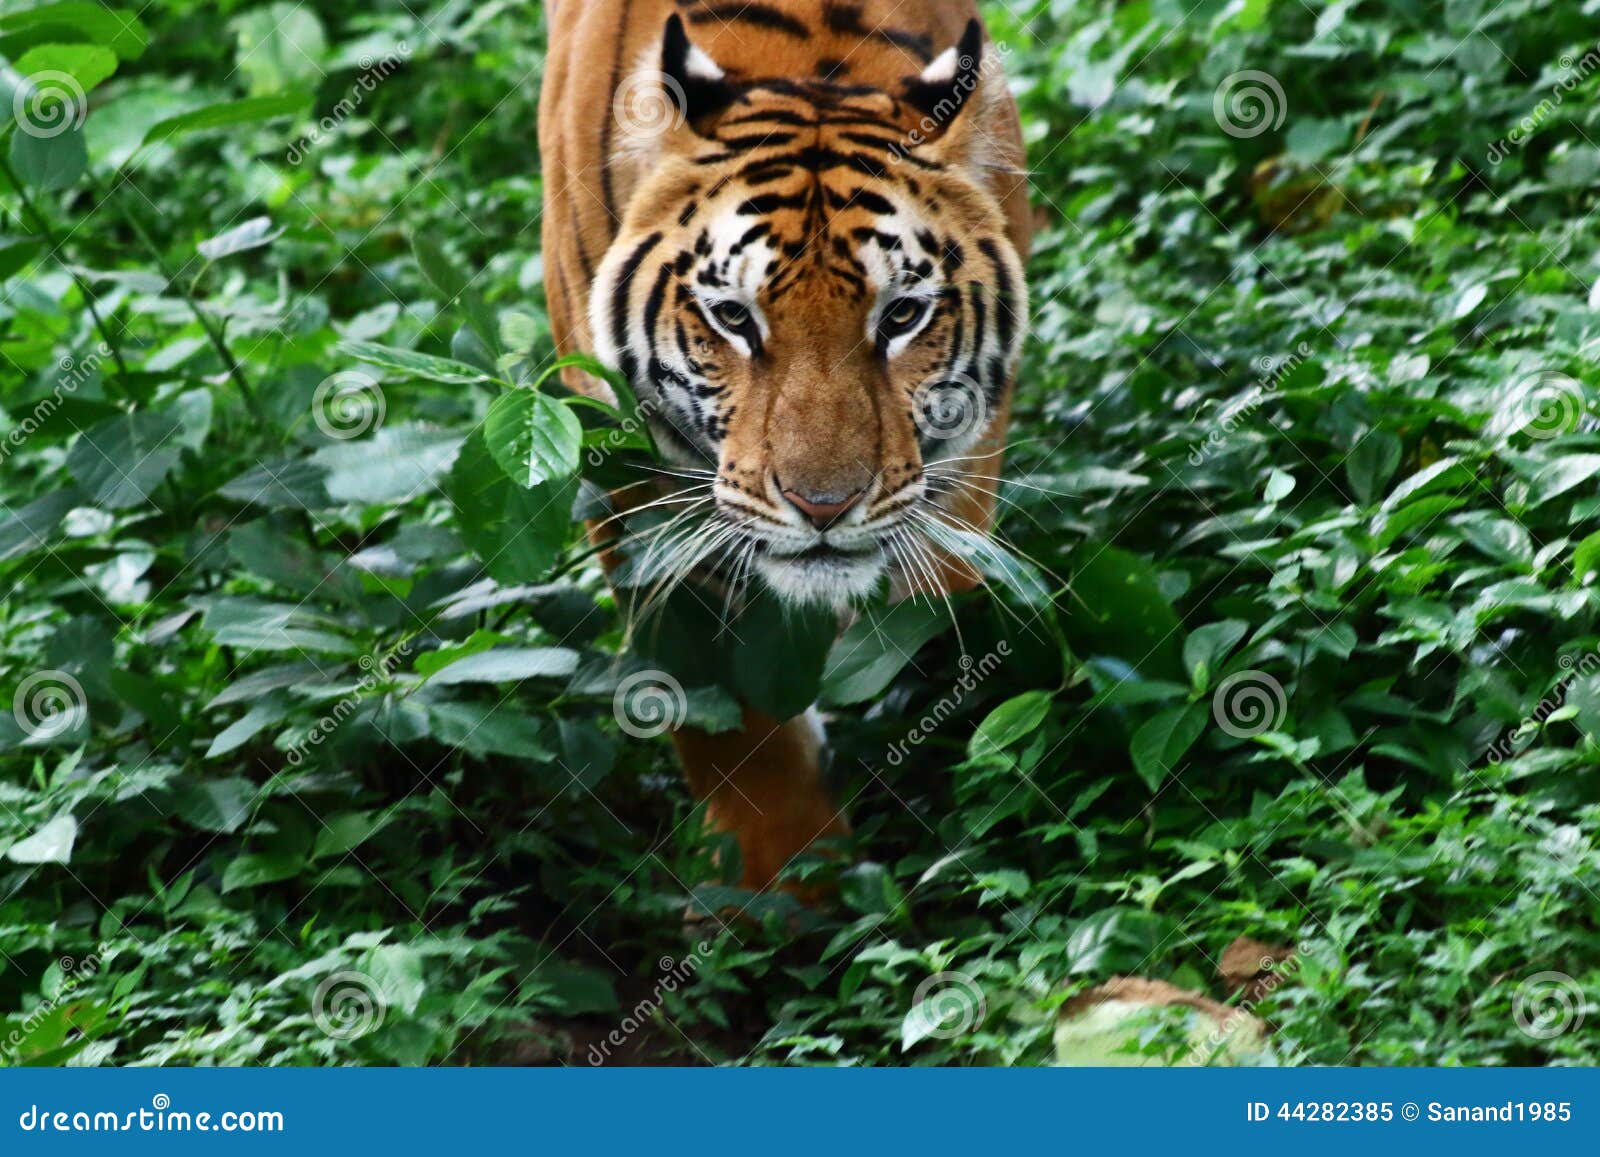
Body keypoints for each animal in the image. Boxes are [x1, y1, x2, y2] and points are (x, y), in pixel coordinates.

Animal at [538, 0, 1031, 895]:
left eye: (902, 314)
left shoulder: (962, 461)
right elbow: (722, 703)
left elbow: (937, 608)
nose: (824, 507)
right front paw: (786, 886)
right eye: (734, 317)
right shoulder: (633, 475)